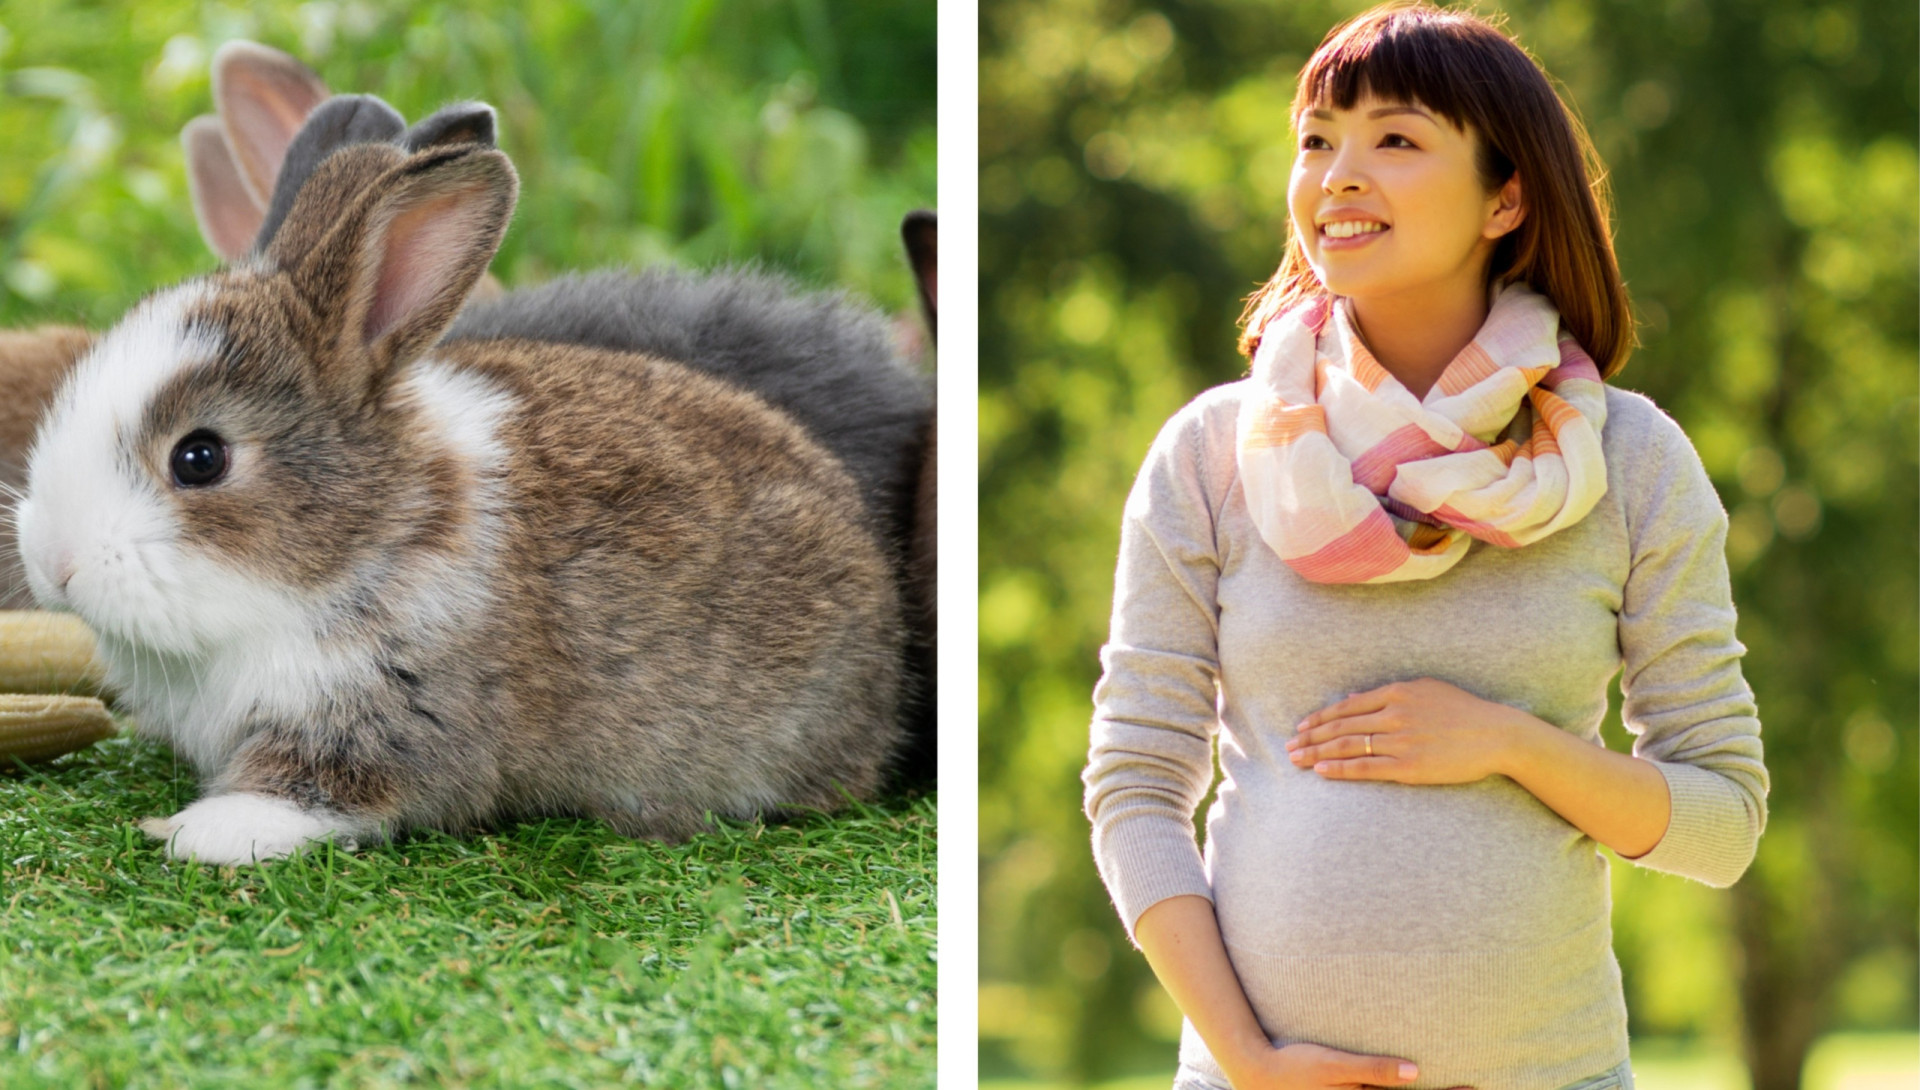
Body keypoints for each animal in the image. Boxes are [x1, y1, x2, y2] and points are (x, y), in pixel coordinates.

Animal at [17, 141, 906, 865]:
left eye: (199, 458)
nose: (53, 563)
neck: (374, 531)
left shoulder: (390, 717)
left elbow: (317, 790)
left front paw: (199, 831)